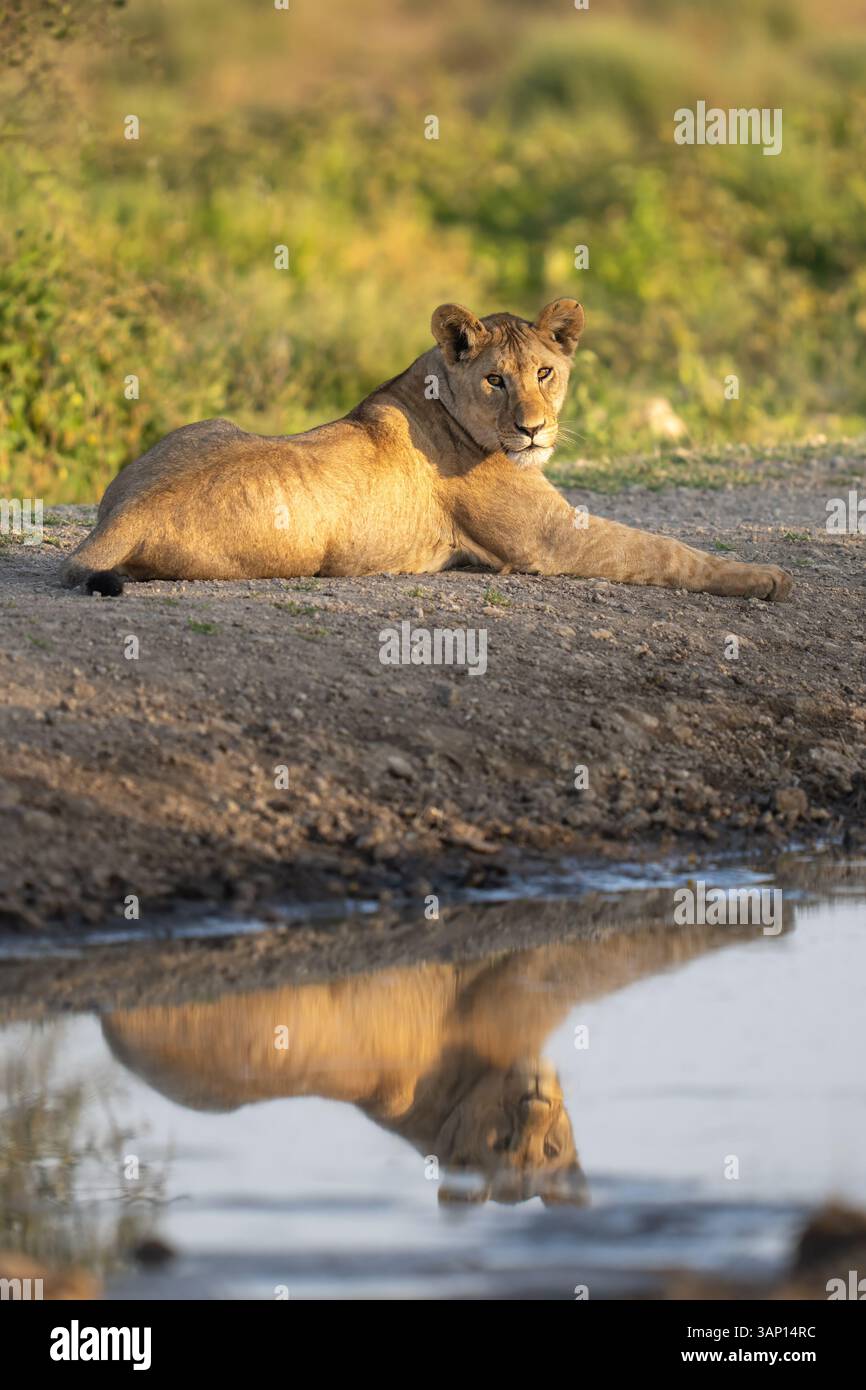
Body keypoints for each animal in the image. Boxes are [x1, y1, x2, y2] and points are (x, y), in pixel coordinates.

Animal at [61, 299, 792, 601]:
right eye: (496, 379)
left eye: (545, 373)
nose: (532, 429)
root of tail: (123, 514)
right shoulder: (549, 537)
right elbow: (663, 549)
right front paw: (765, 578)